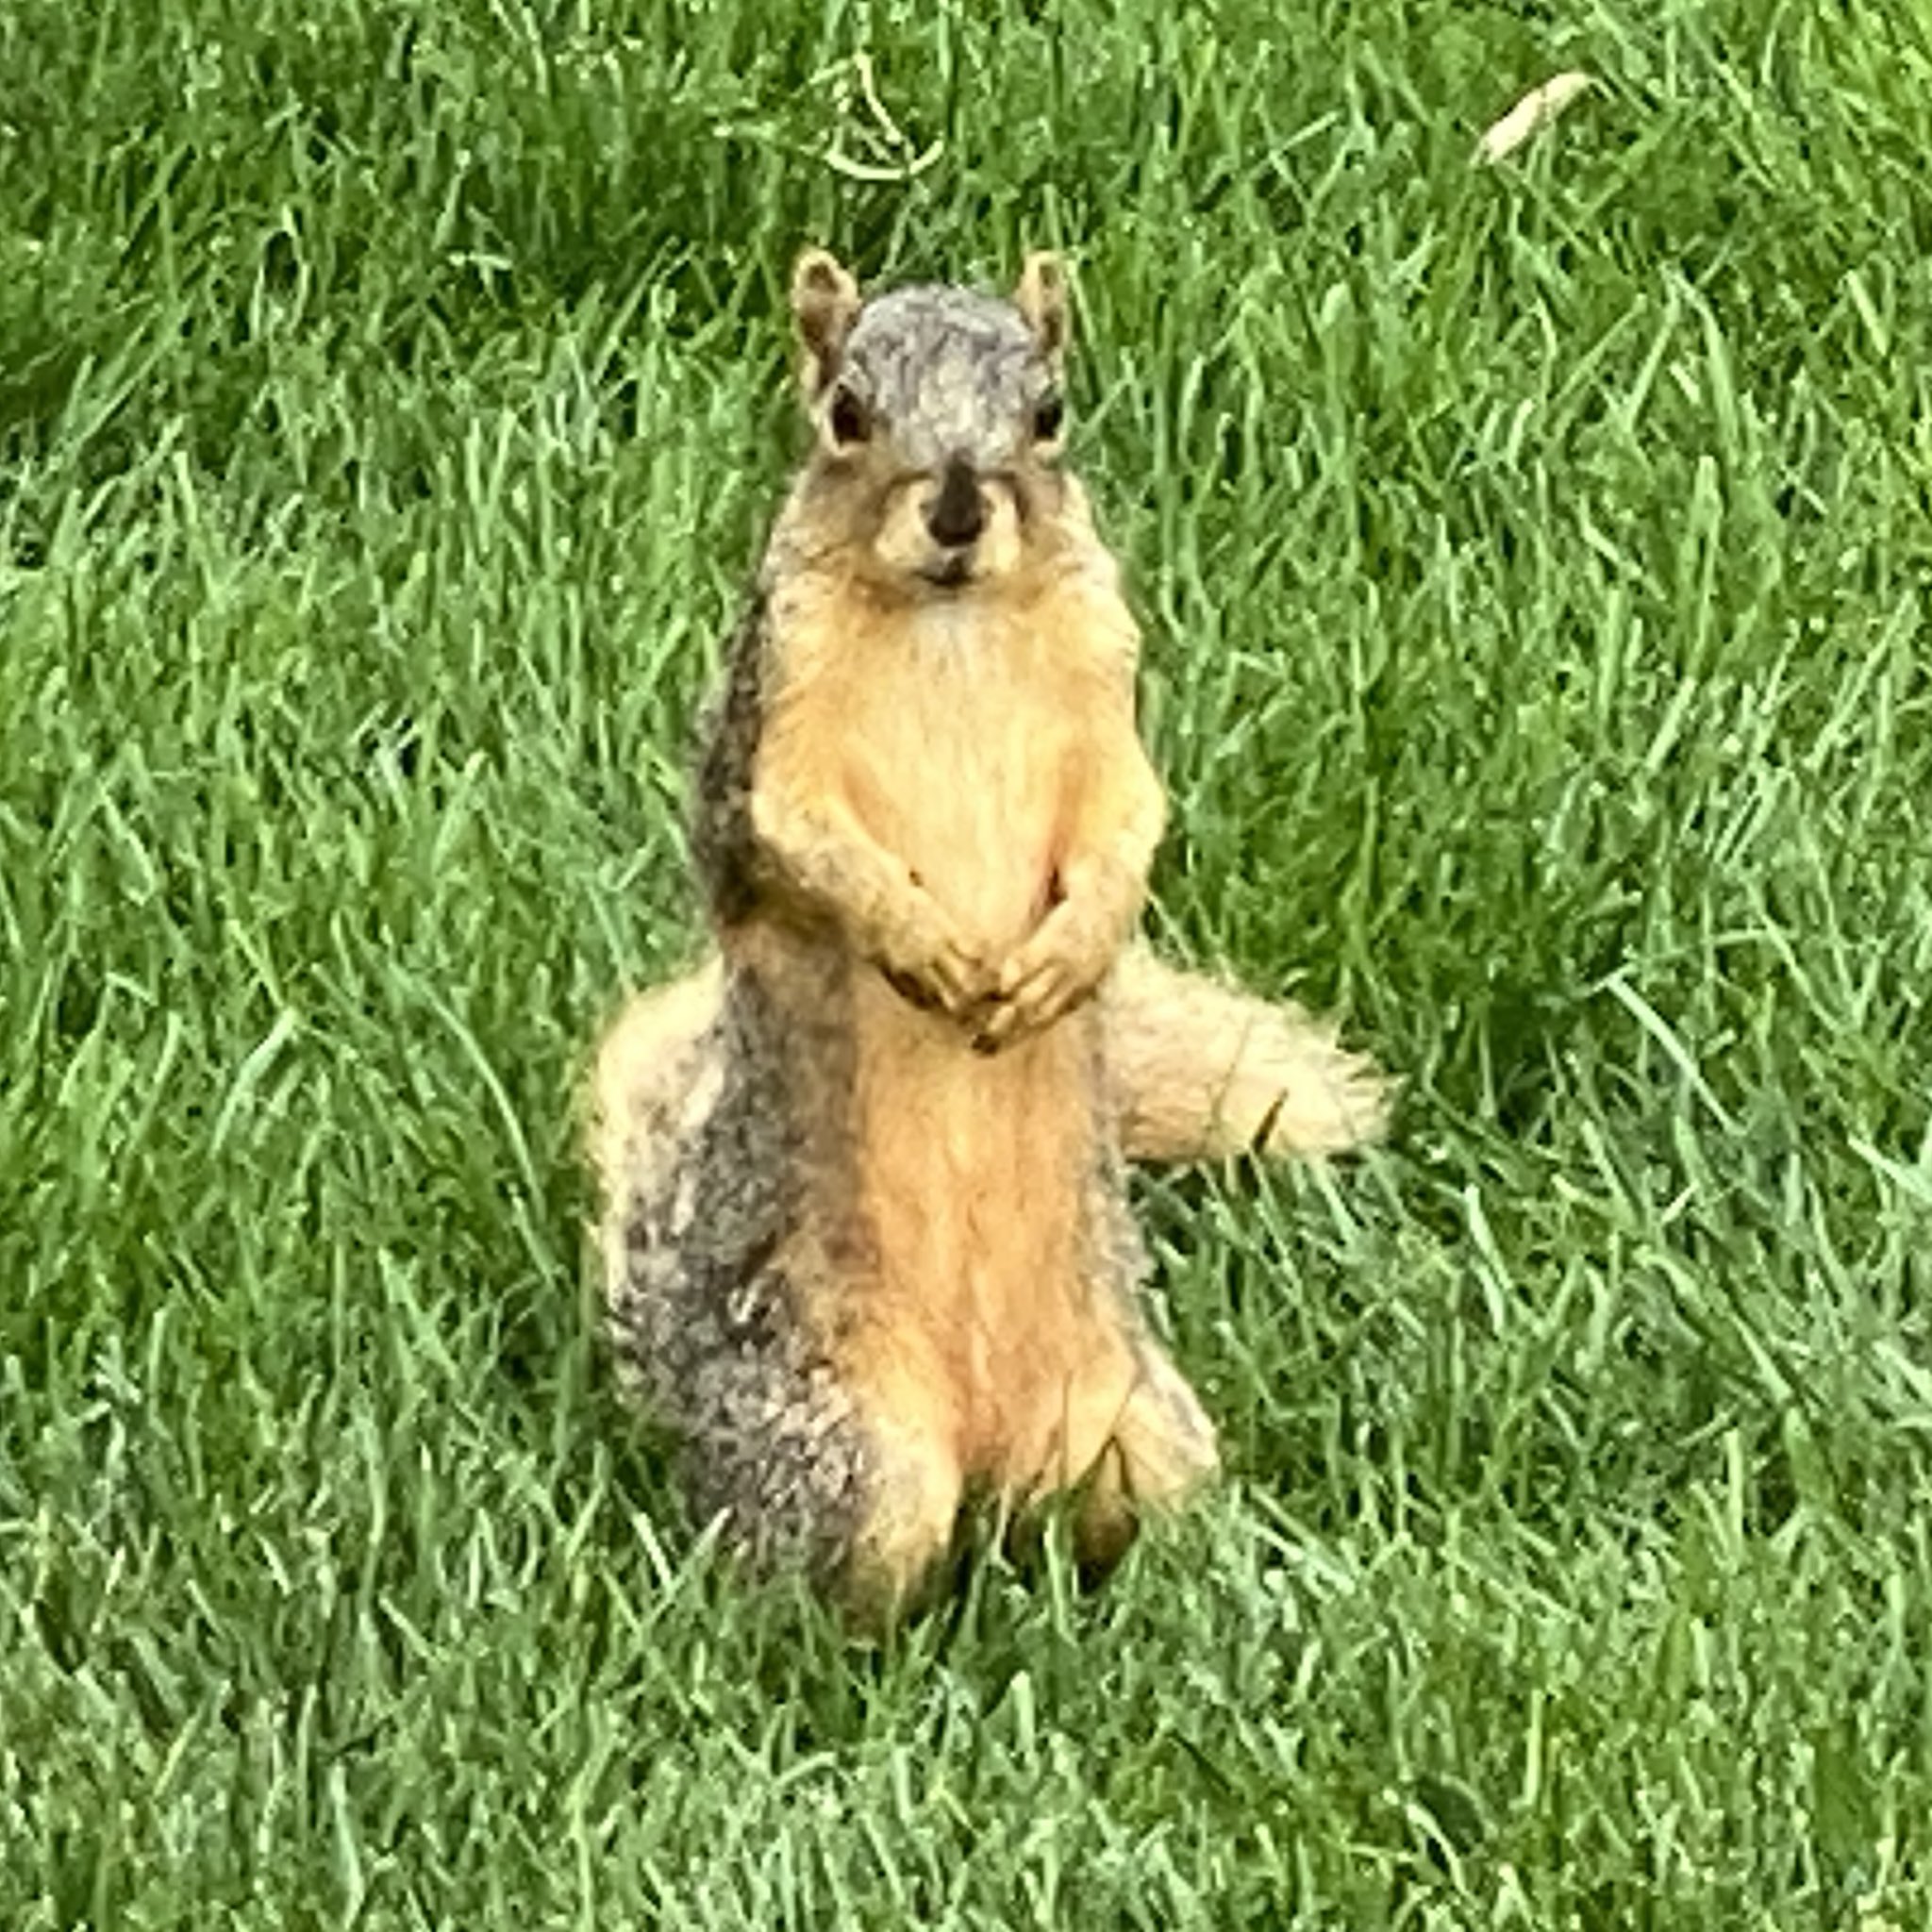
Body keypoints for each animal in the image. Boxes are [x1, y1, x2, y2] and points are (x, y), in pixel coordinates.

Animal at [586, 249, 1389, 1620]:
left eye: (1051, 410)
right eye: (845, 413)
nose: (960, 512)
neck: (950, 621)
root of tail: (982, 1433)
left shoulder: (1105, 672)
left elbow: (1131, 819)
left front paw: (1068, 952)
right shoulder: (778, 710)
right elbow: (803, 837)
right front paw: (926, 945)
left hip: (1133, 1439)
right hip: (857, 1465)